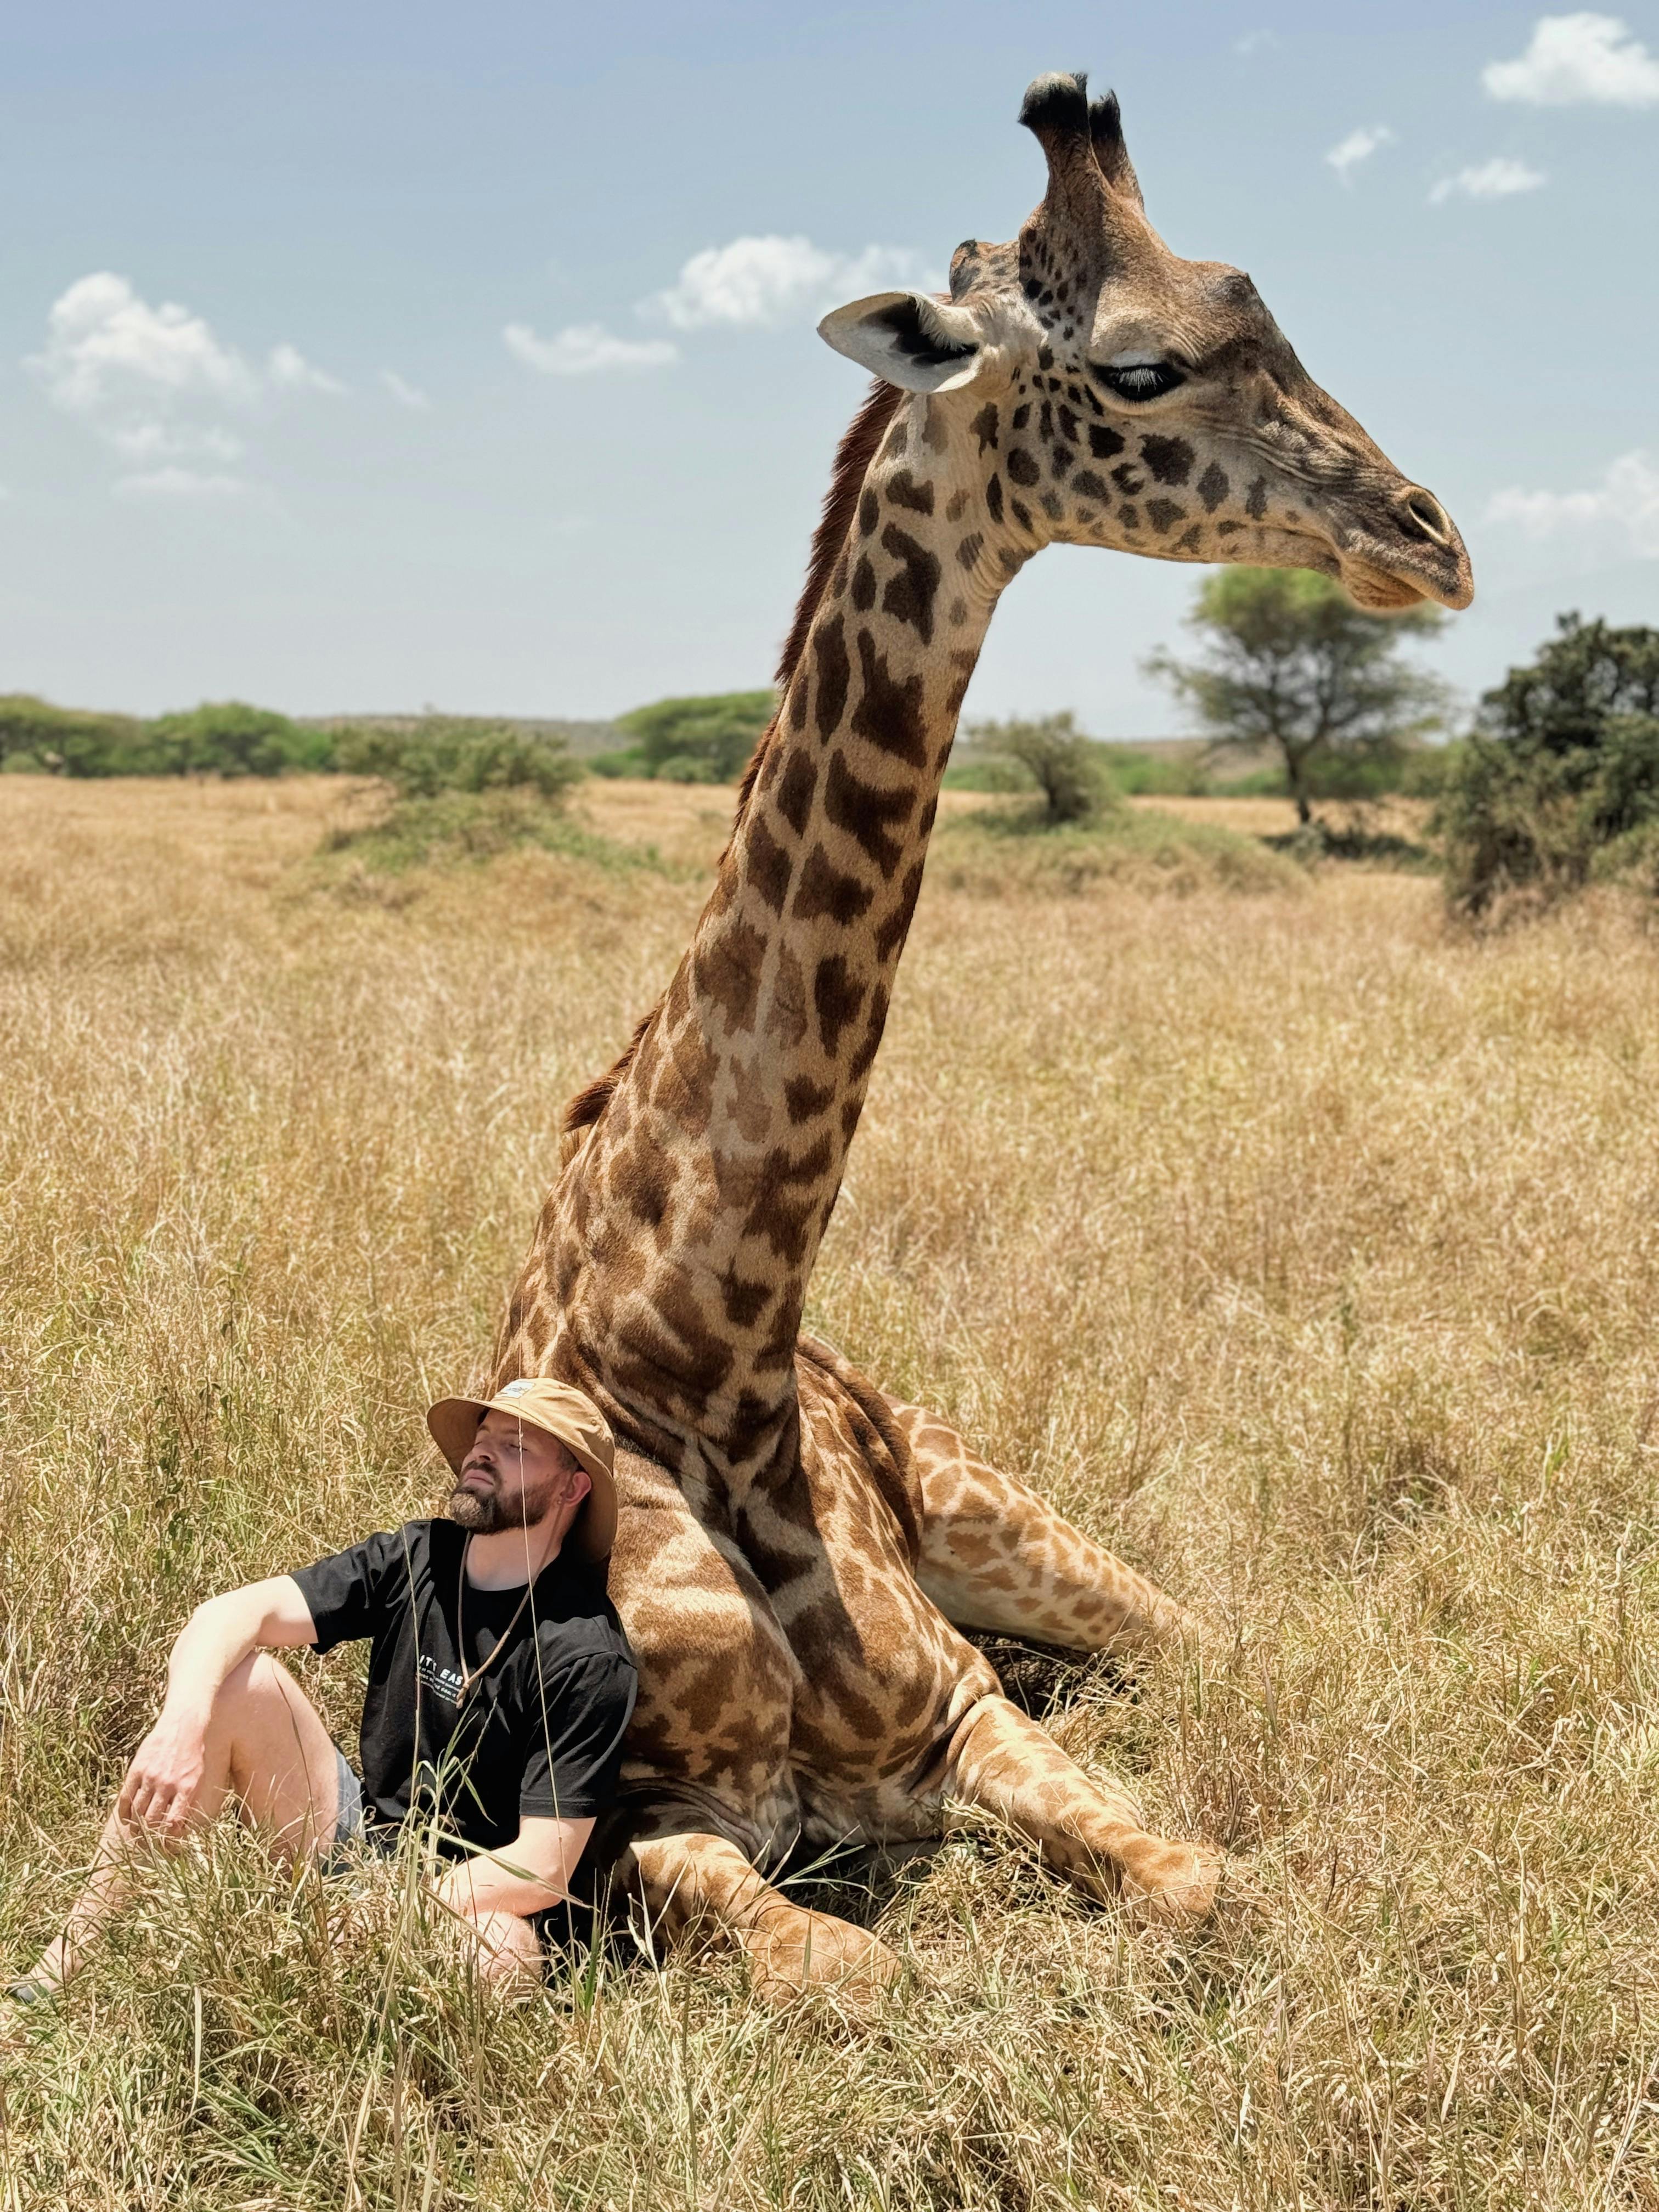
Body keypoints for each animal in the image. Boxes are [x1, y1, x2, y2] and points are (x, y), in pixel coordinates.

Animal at [491, 71, 1472, 1997]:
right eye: (1147, 367)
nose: (1434, 539)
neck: (700, 1340)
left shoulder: (952, 1710)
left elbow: (1197, 1880)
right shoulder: (637, 1819)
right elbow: (855, 1973)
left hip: (1021, 1526)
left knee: (1204, 1639)